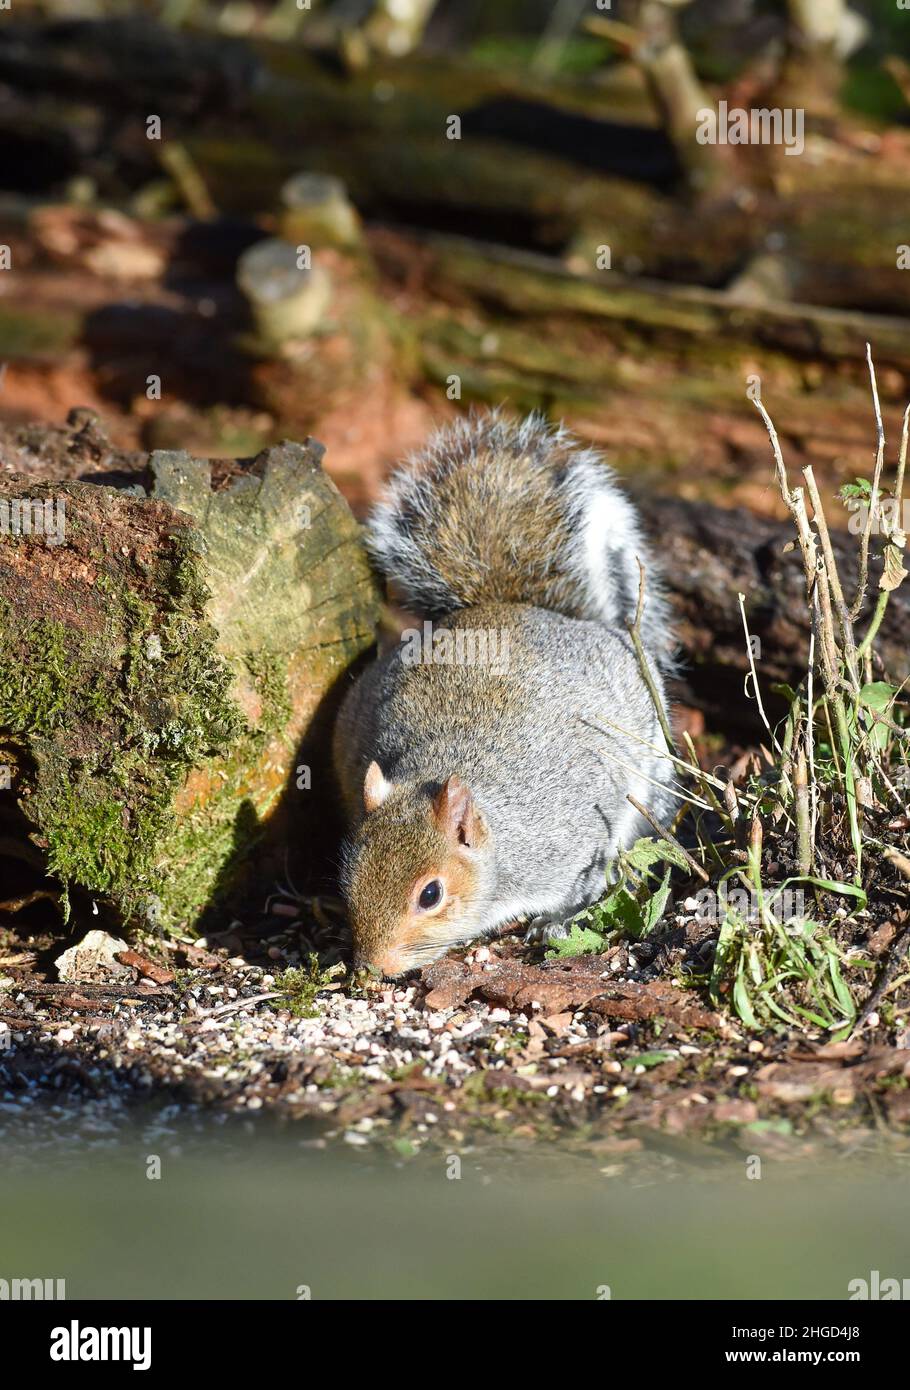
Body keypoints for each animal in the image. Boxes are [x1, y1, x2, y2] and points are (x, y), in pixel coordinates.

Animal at [332, 410, 677, 978]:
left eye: (430, 894)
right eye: (349, 874)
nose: (372, 967)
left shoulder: (575, 839)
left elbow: (583, 886)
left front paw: (555, 922)